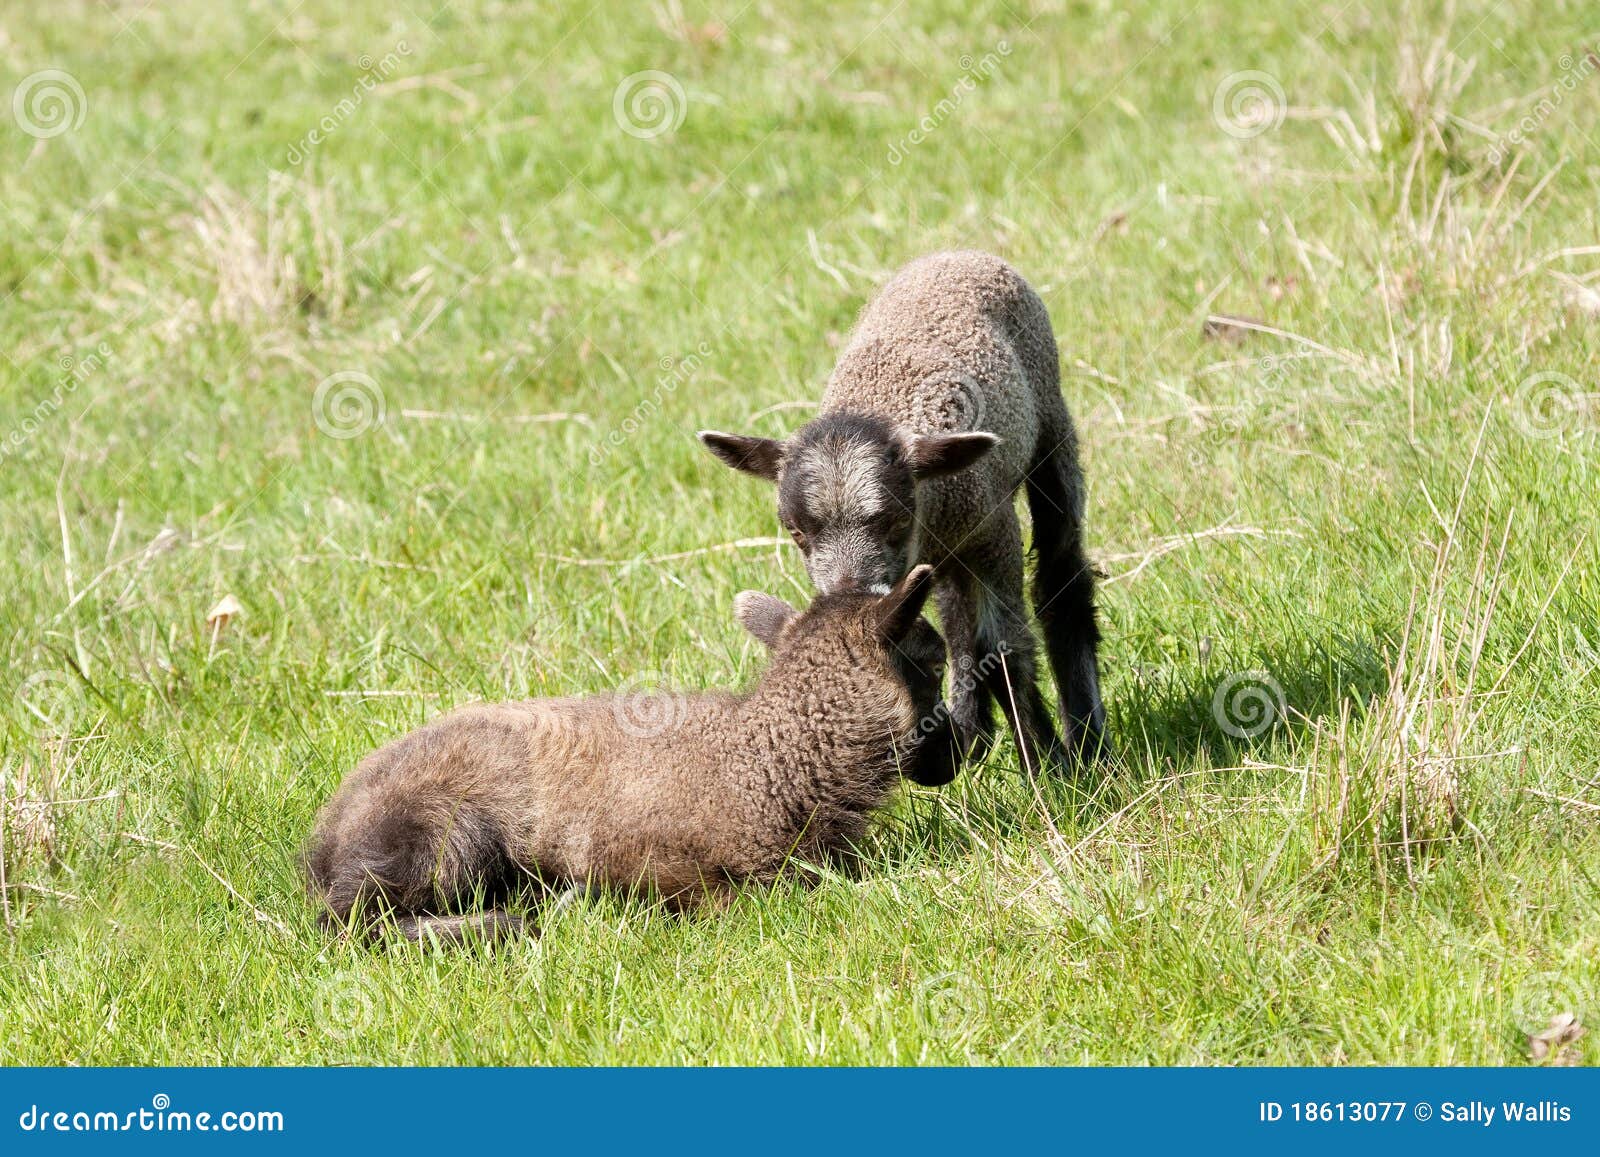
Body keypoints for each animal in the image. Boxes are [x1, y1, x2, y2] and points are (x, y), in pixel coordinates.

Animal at [303, 566, 956, 942]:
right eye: (935, 661)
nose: (959, 753)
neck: (768, 758)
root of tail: (324, 844)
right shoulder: (664, 865)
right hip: (443, 833)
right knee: (349, 925)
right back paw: (504, 923)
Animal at [700, 250, 1106, 772]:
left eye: (894, 520)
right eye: (795, 533)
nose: (849, 596)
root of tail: (955, 252)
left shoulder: (993, 533)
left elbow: (1003, 650)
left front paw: (1048, 767)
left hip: (1050, 428)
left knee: (1061, 575)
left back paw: (1088, 733)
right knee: (958, 621)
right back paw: (974, 734)